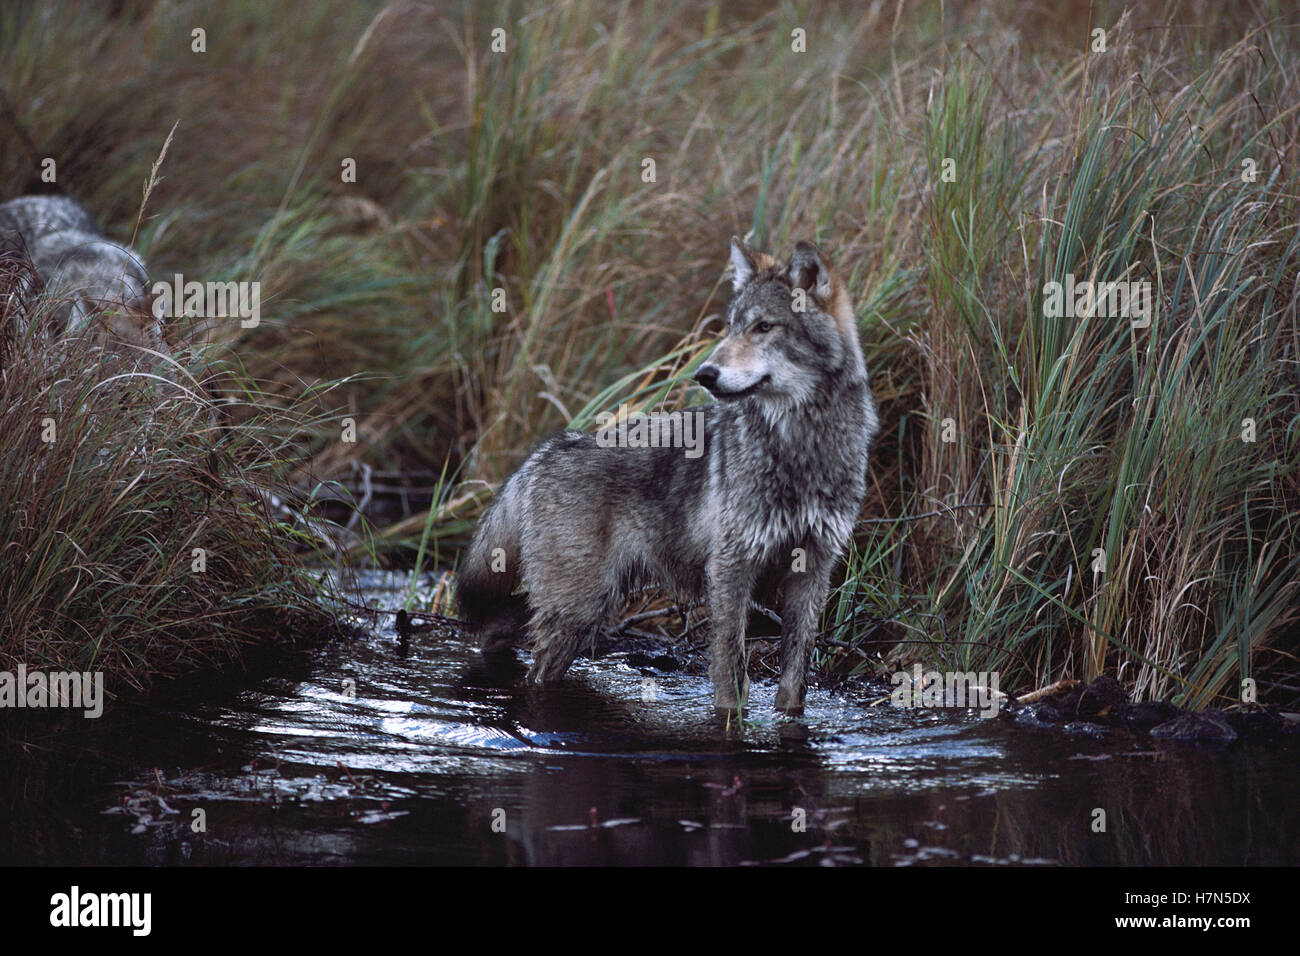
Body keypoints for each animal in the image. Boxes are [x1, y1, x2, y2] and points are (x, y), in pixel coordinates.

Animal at [457, 237, 879, 715]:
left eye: (764, 327)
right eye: (731, 327)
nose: (705, 374)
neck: (800, 449)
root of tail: (547, 450)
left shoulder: (812, 571)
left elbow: (794, 681)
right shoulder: (730, 569)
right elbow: (729, 673)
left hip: (587, 604)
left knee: (496, 631)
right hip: (580, 611)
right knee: (531, 668)